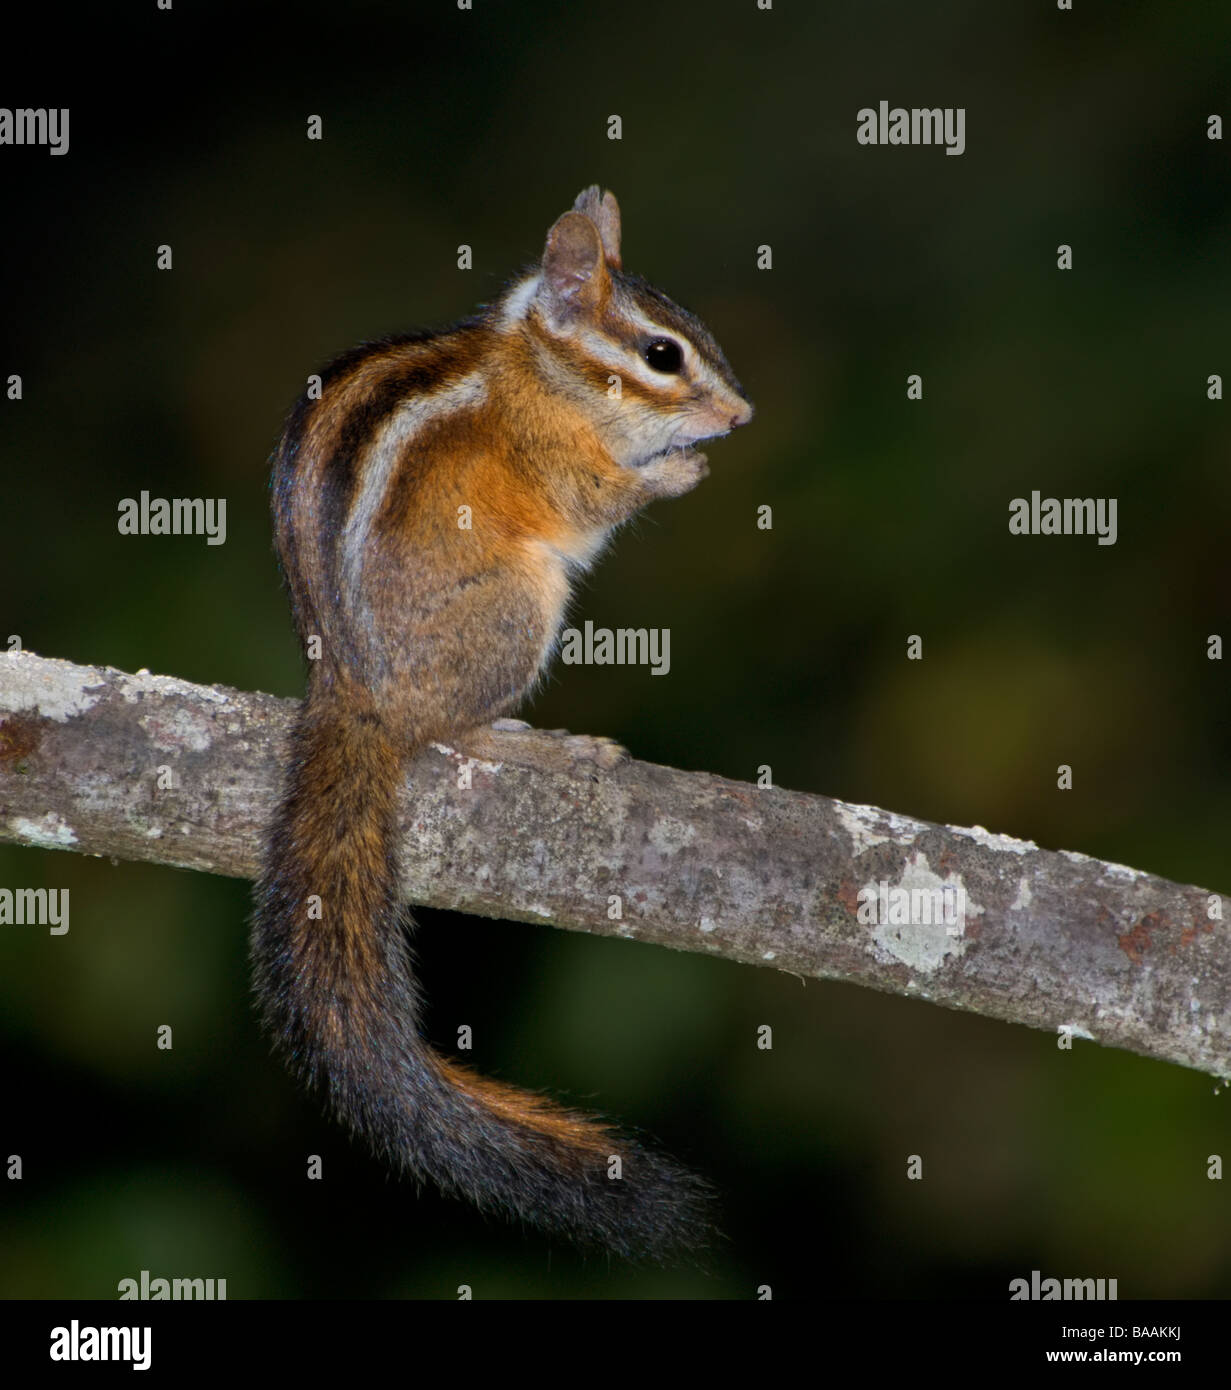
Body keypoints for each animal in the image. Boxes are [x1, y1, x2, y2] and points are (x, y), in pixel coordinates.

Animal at [252, 185, 753, 1260]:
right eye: (663, 355)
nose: (740, 415)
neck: (544, 371)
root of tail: (354, 689)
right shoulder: (555, 455)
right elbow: (597, 491)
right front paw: (675, 474)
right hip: (522, 605)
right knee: (447, 731)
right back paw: (537, 747)